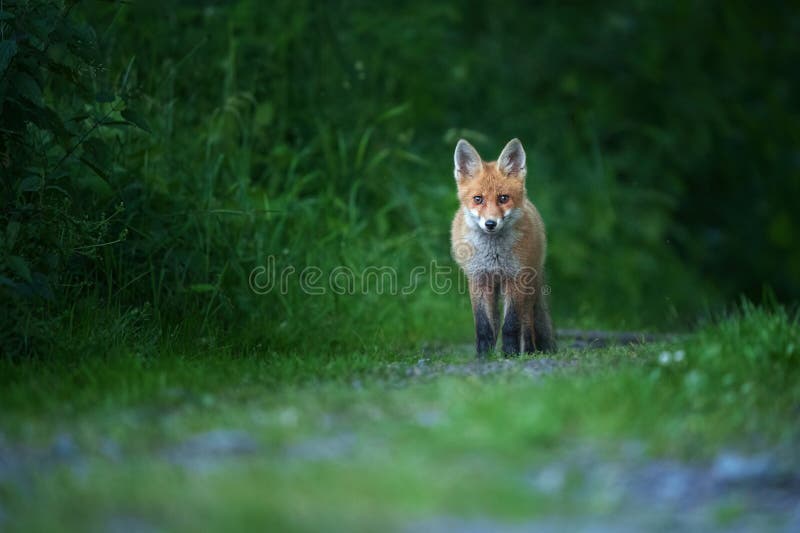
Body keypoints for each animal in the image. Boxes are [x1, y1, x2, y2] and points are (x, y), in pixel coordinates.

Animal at [450, 138, 556, 357]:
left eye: (503, 198)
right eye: (478, 199)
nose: (490, 224)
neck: (494, 255)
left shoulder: (514, 278)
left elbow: (511, 325)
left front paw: (510, 354)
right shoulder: (478, 279)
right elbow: (483, 326)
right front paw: (483, 355)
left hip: (529, 286)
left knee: (527, 322)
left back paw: (529, 351)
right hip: (494, 289)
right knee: (496, 320)